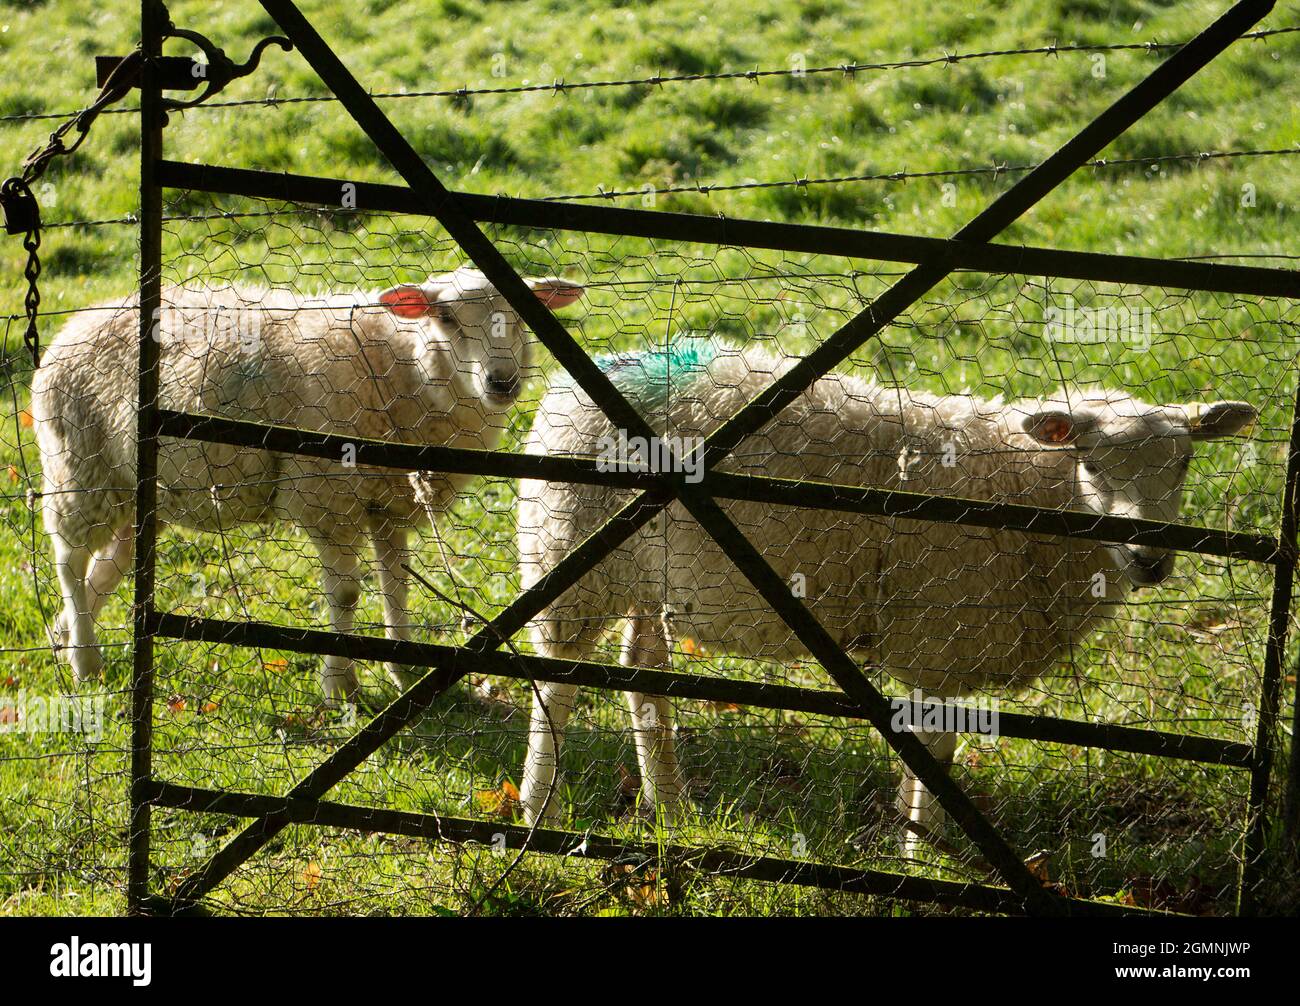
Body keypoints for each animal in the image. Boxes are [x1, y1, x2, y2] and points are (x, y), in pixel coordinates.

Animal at [33, 266, 584, 702]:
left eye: (523, 318)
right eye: (445, 318)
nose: (502, 382)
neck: (399, 369)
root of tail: (72, 327)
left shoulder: (388, 503)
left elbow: (396, 588)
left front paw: (402, 668)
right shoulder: (328, 501)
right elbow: (347, 596)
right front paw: (341, 687)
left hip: (135, 489)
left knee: (109, 563)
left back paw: (64, 638)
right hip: (79, 466)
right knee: (69, 559)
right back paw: (85, 661)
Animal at [514, 338, 1256, 845]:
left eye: (1185, 462)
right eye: (1093, 464)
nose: (1151, 558)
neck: (1028, 492)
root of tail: (577, 384)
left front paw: (913, 833)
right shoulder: (942, 642)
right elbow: (936, 755)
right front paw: (922, 853)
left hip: (641, 572)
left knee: (643, 672)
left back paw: (670, 807)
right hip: (571, 557)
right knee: (559, 679)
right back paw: (537, 805)